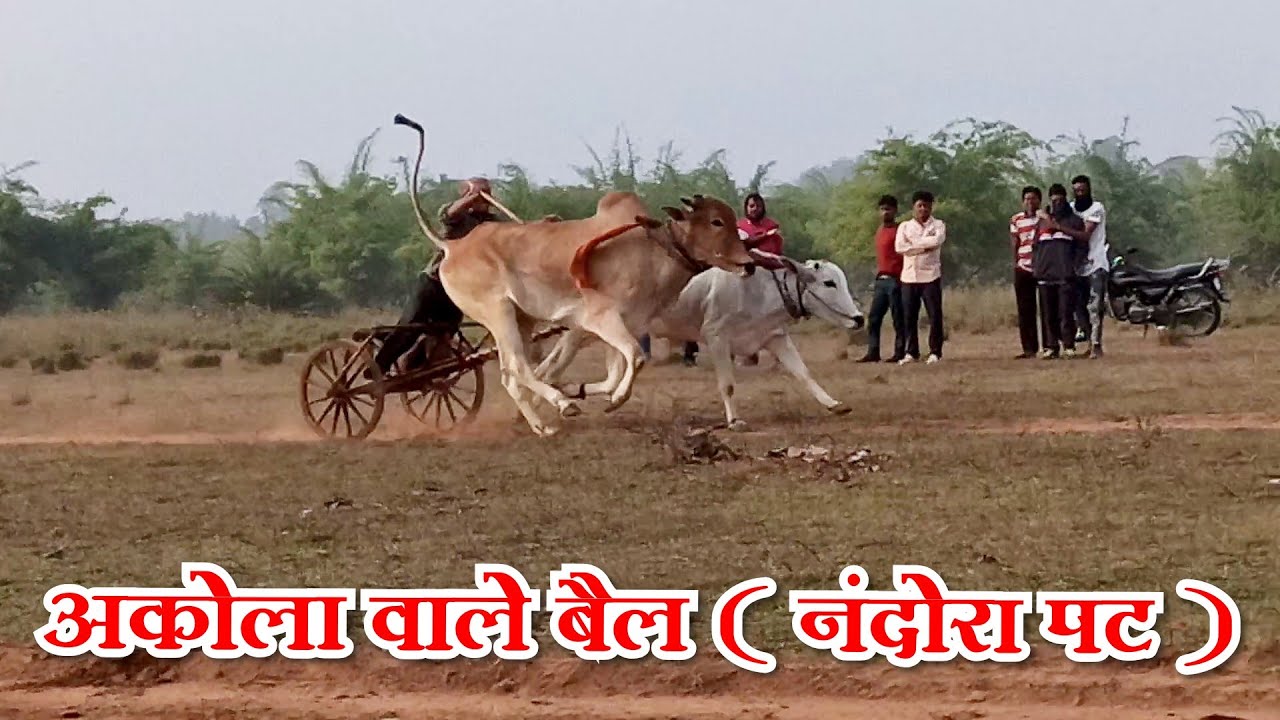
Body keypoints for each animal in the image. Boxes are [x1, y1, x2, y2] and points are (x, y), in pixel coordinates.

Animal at [394, 114, 756, 437]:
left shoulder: (614, 326)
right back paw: (560, 407)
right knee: (517, 367)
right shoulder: (598, 319)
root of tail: (453, 247)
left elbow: (614, 371)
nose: (749, 263)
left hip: (522, 318)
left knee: (513, 374)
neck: (654, 250)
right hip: (498, 312)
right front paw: (600, 398)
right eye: (716, 221)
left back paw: (543, 424)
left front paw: (580, 389)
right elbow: (634, 359)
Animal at [539, 252, 866, 429]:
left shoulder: (775, 338)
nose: (859, 318)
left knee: (572, 372)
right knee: (549, 368)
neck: (760, 289)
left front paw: (834, 404)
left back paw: (568, 392)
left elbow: (804, 374)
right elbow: (728, 385)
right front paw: (734, 421)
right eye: (829, 283)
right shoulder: (717, 337)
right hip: (584, 332)